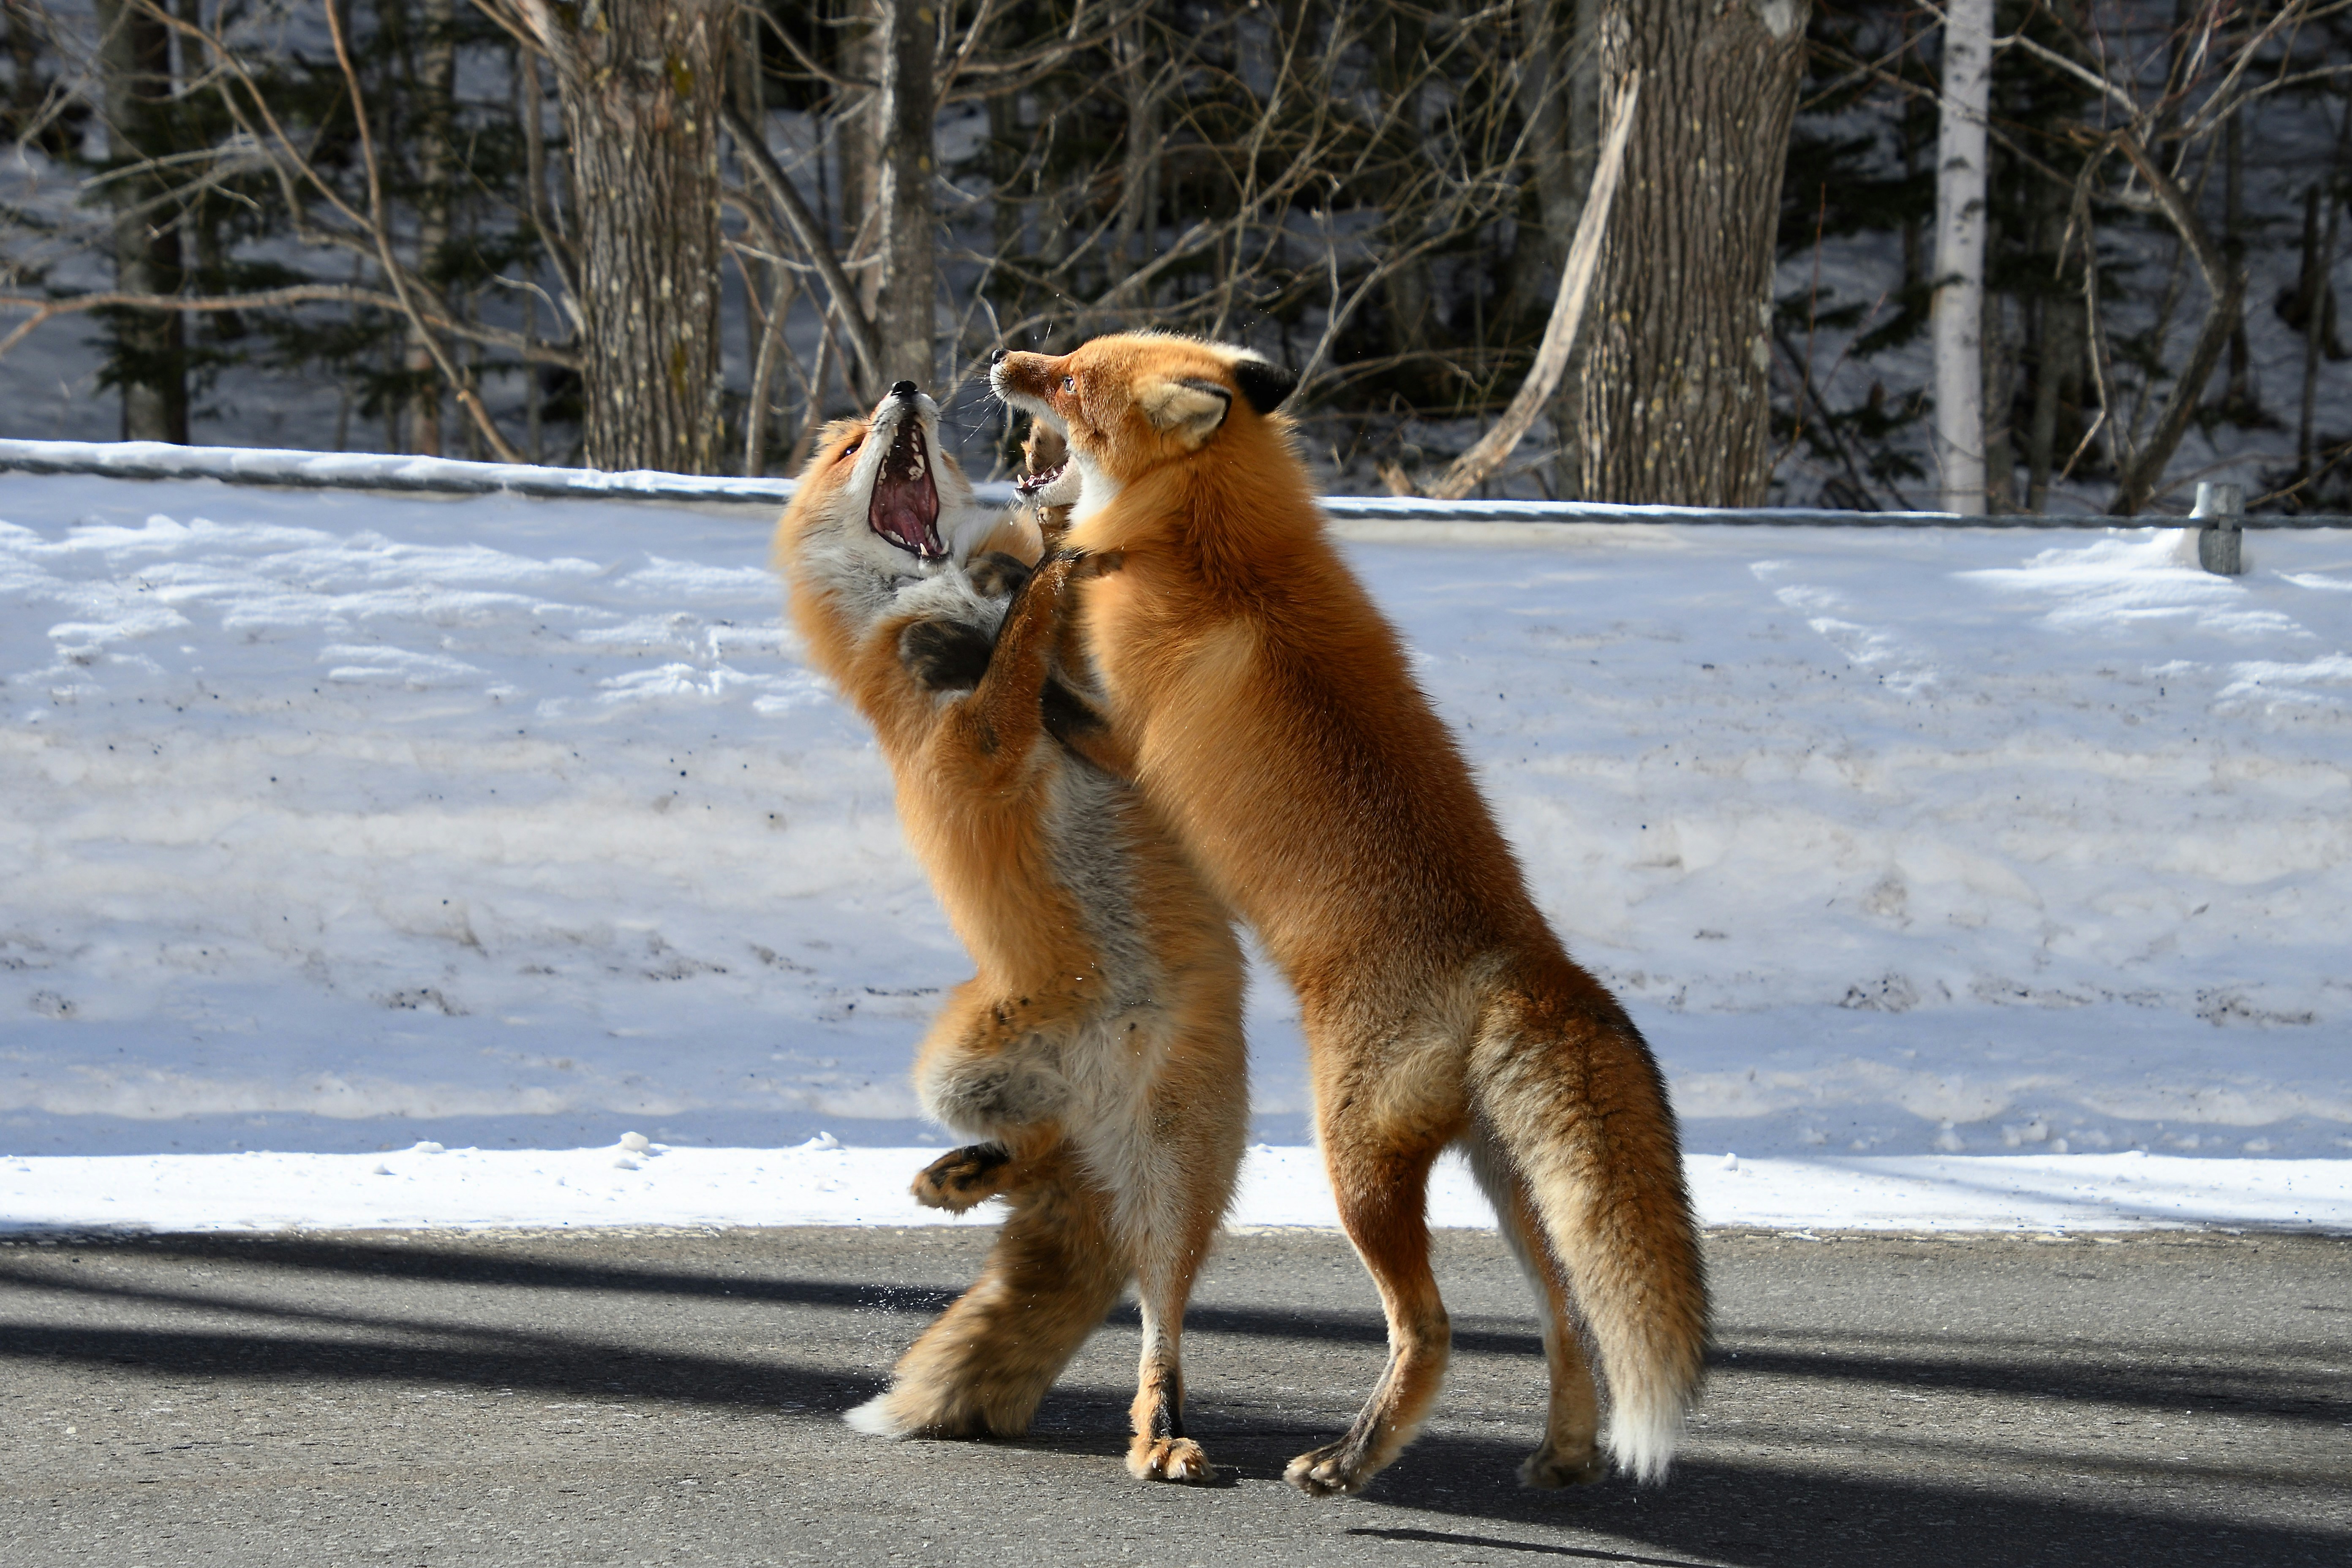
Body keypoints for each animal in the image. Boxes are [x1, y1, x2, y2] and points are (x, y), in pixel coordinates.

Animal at [772, 380, 1249, 1483]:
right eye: (853, 446)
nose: (904, 387)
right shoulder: (970, 746)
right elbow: (1009, 661)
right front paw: (1030, 584)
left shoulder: (1121, 732)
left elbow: (1057, 670)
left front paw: (1030, 562)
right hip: (953, 1074)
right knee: (1033, 1148)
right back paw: (963, 1176)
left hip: (1177, 1173)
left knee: (1157, 1314)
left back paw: (1161, 1430)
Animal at [989, 335, 1708, 1496]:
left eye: (1069, 381)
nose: (1000, 355)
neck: (1210, 541)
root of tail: (1524, 959)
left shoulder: (1124, 742)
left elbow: (1047, 675)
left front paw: (1014, 592)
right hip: (1511, 1189)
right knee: (1566, 1320)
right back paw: (1558, 1454)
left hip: (1354, 1166)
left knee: (1431, 1327)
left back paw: (1349, 1457)